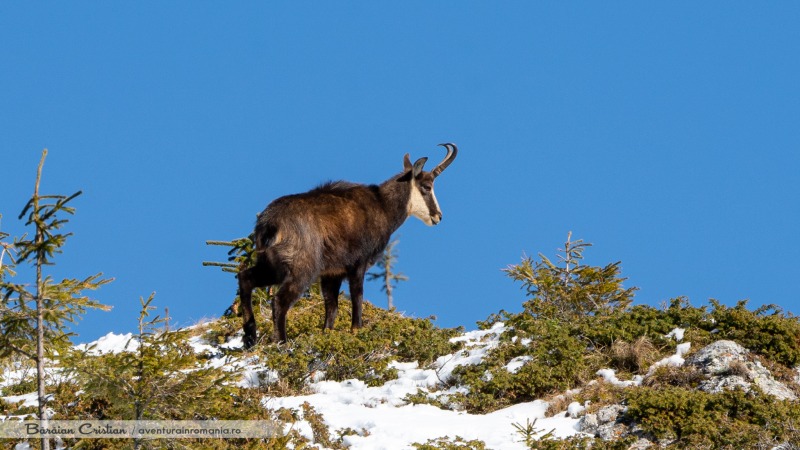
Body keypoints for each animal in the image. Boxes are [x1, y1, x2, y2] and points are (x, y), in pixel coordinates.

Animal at [237, 143, 458, 347]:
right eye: (427, 187)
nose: (438, 216)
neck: (383, 207)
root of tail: (270, 223)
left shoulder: (331, 273)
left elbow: (331, 308)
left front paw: (327, 335)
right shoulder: (358, 264)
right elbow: (357, 298)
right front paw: (357, 330)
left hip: (271, 265)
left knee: (245, 278)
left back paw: (250, 337)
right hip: (301, 268)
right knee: (279, 301)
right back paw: (281, 342)